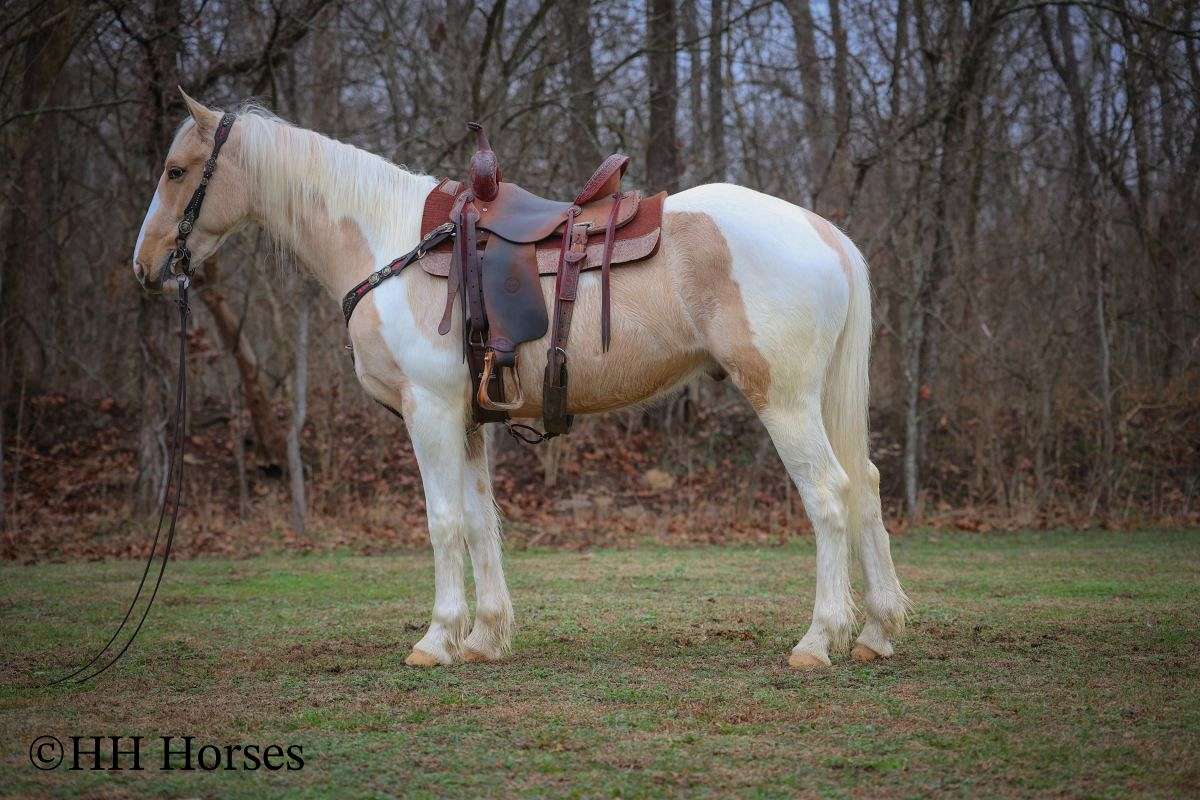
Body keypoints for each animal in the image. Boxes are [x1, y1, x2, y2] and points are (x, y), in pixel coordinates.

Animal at [132, 90, 909, 670]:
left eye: (177, 171)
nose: (146, 264)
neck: (391, 244)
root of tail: (822, 232)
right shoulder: (469, 420)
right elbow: (482, 521)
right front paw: (484, 636)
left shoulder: (430, 413)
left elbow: (444, 521)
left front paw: (436, 638)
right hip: (822, 399)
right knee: (866, 488)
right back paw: (876, 632)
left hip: (784, 401)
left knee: (830, 495)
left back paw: (818, 640)